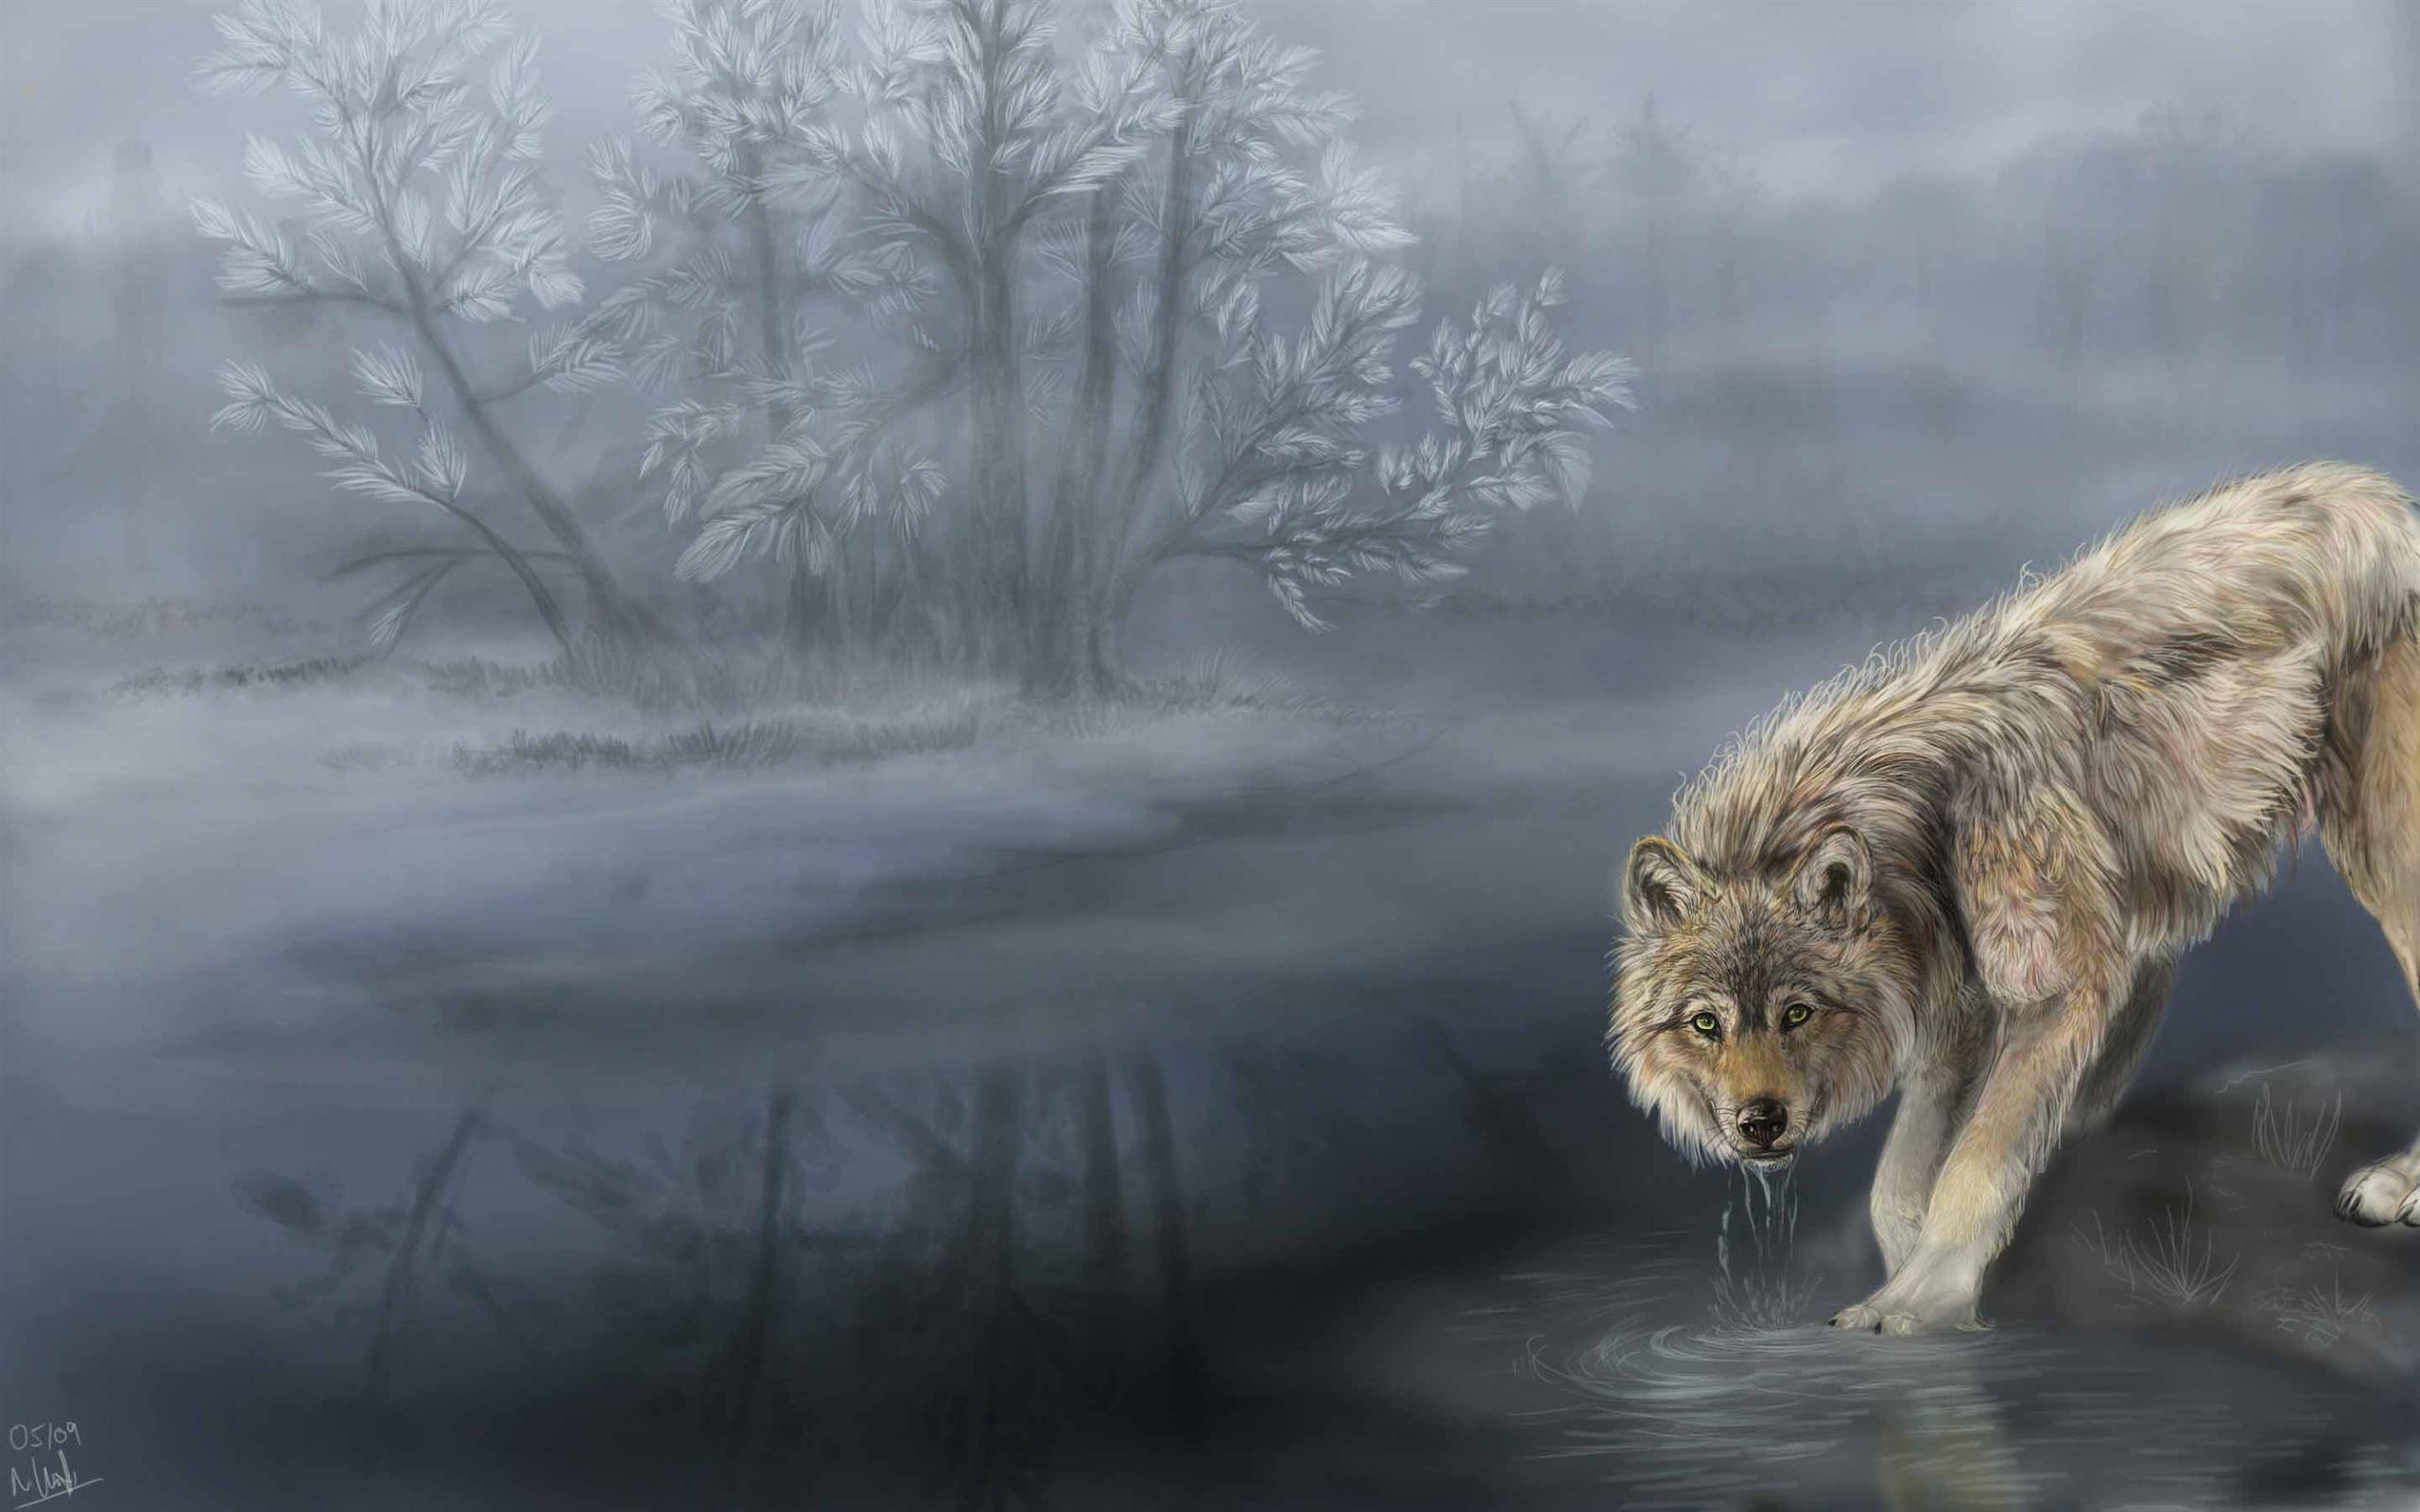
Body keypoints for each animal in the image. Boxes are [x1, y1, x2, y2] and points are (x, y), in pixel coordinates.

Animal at [1609, 462, 2420, 1334]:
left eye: (1798, 1012)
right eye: (1706, 1024)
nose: (1761, 1122)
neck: (1917, 833)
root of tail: (2384, 503)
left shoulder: (2053, 989)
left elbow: (1977, 1161)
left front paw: (1922, 1300)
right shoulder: (1959, 1004)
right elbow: (1898, 1181)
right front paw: (1902, 1268)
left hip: (2389, 865)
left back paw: (2399, 1184)